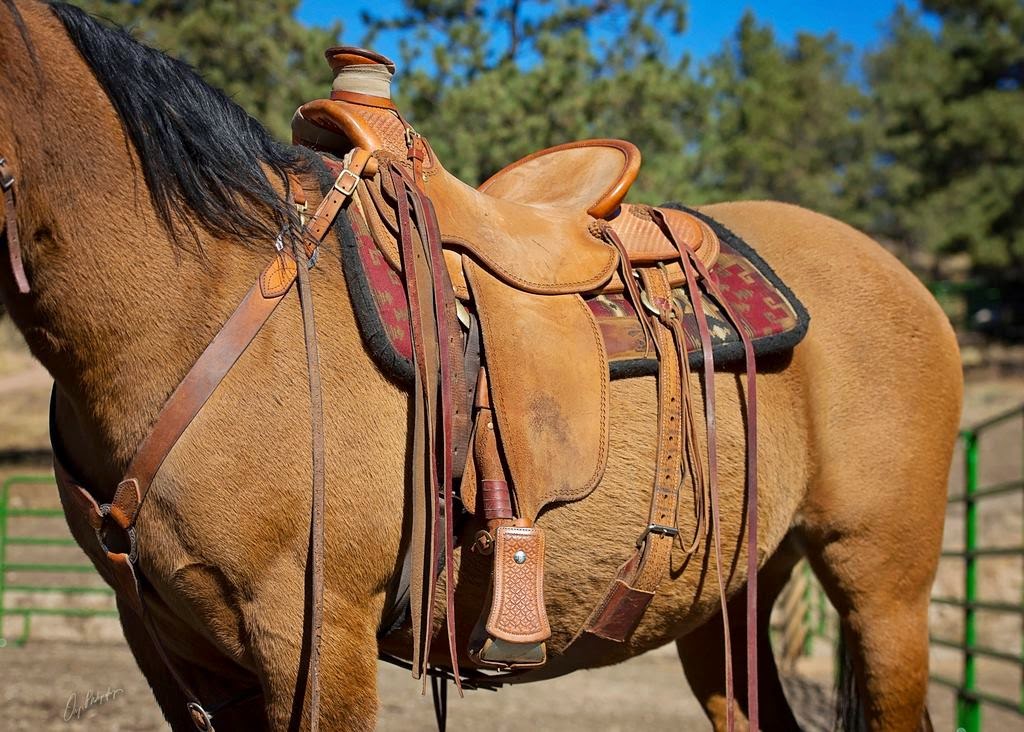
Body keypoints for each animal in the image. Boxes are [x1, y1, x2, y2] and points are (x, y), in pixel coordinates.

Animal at [0, 2, 961, 730]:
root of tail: (901, 277)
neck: (207, 299)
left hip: (883, 587)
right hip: (731, 601)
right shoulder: (174, 648)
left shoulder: (313, 631)